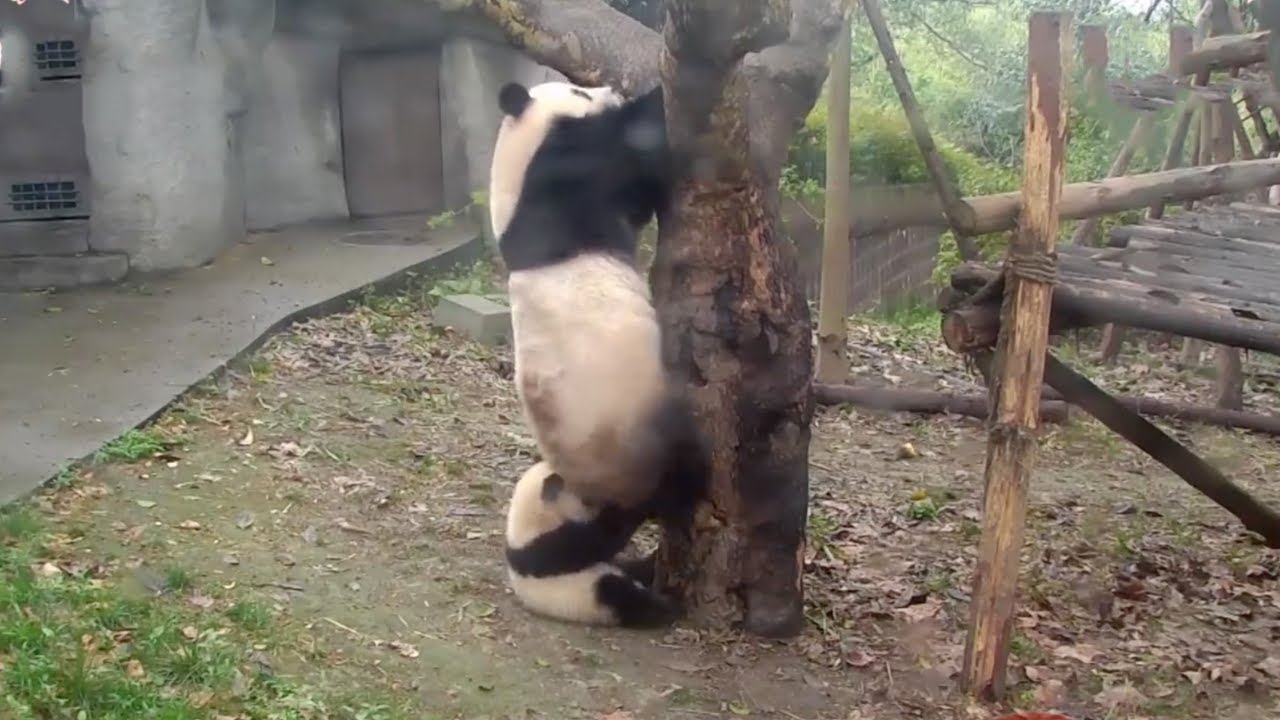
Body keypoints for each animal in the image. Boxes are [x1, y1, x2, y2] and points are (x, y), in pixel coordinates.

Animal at [488, 78, 709, 526]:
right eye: (579, 91)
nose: (609, 88)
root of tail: (609, 493)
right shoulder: (565, 175)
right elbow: (636, 161)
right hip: (637, 417)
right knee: (681, 450)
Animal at [505, 460, 677, 628]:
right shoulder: (549, 545)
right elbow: (603, 538)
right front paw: (655, 495)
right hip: (587, 596)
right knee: (617, 594)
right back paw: (665, 607)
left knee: (632, 569)